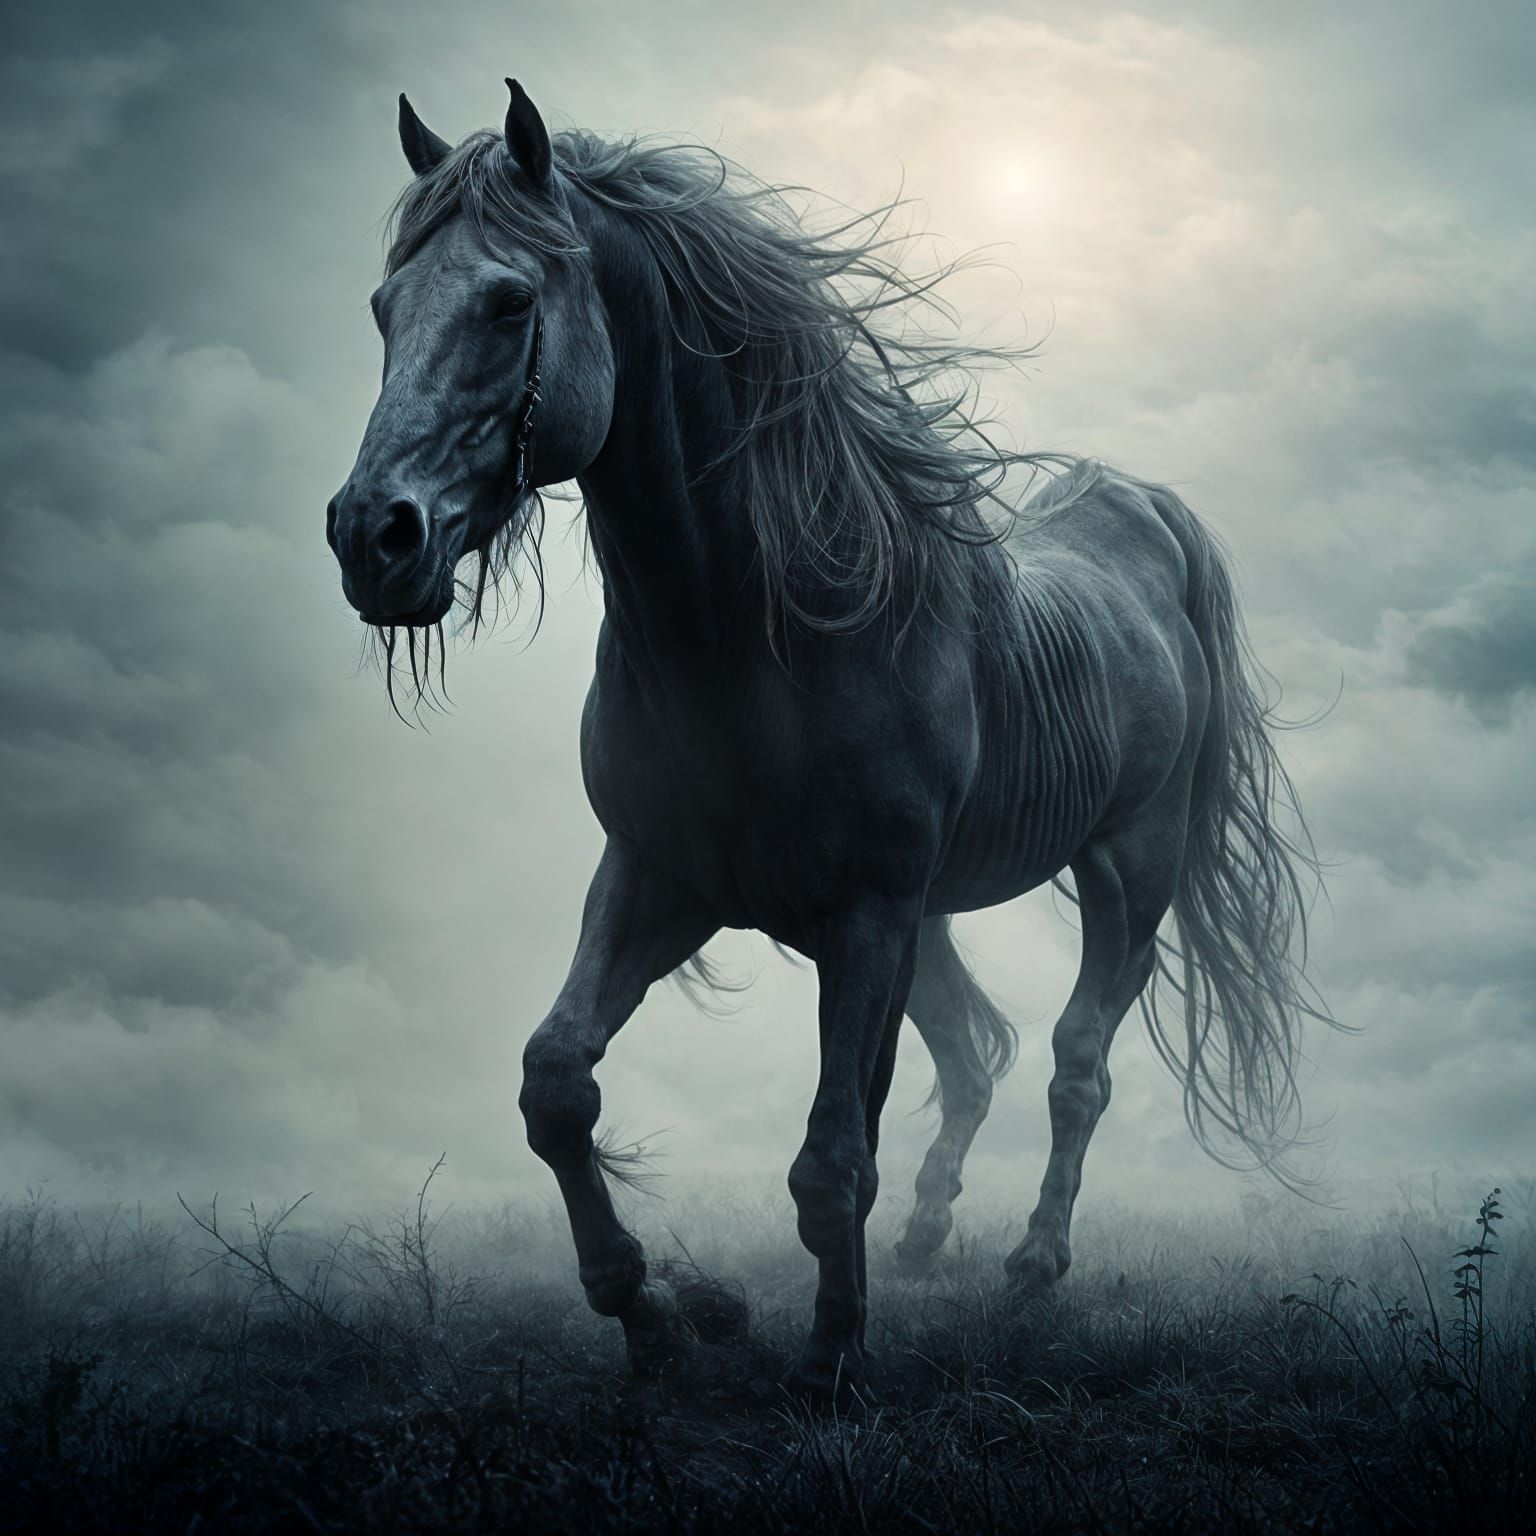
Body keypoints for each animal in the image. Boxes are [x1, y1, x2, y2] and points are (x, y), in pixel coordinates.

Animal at [326, 80, 1331, 1399]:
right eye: (386, 309)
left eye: (507, 302)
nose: (371, 538)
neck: (762, 632)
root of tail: (1144, 516)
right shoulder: (663, 881)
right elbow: (557, 1088)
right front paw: (653, 1314)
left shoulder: (866, 911)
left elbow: (831, 1154)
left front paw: (830, 1362)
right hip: (936, 918)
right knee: (975, 1052)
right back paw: (925, 1237)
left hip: (1126, 876)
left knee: (1075, 1066)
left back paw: (1029, 1267)